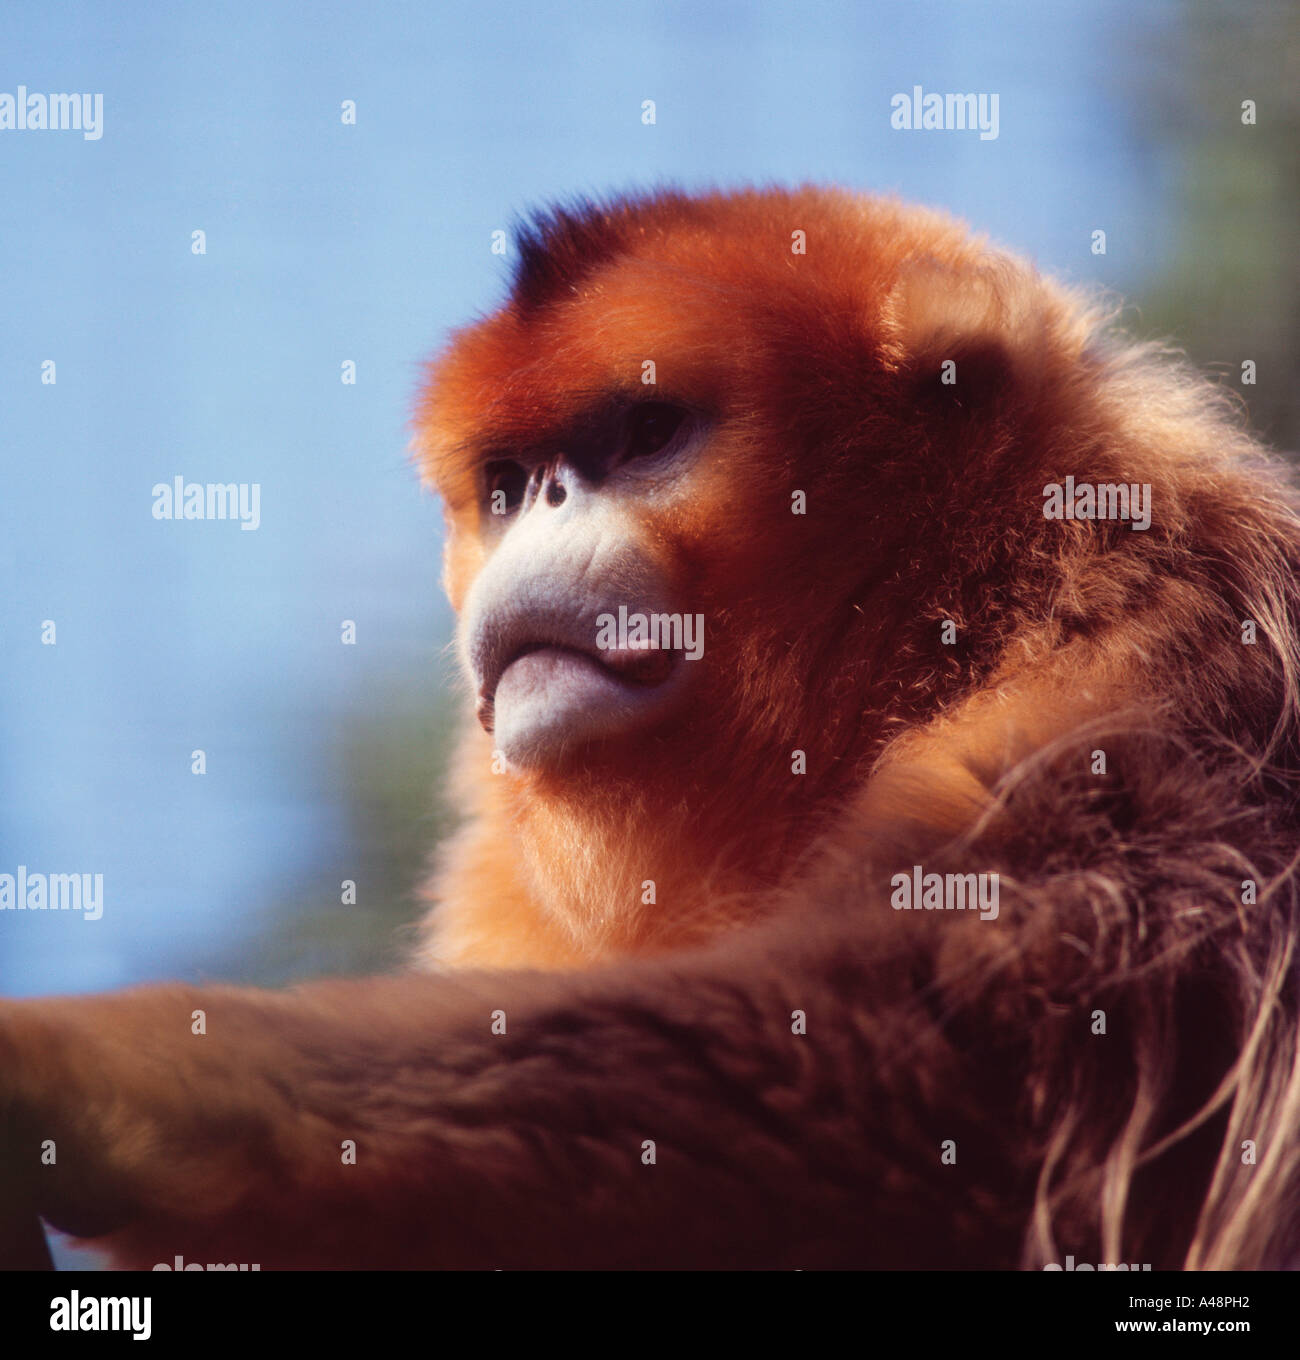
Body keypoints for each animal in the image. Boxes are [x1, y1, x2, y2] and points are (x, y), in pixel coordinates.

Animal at [2, 185, 1299, 1271]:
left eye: (642, 434)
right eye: (508, 483)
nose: (545, 502)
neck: (961, 612)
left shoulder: (1143, 668)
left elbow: (906, 1084)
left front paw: (101, 1074)